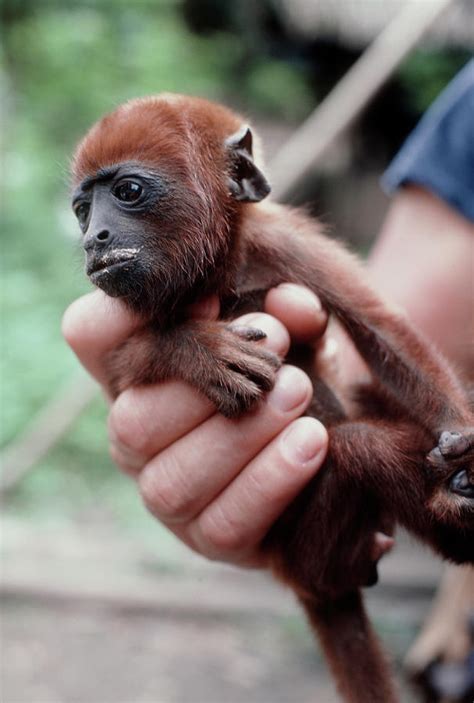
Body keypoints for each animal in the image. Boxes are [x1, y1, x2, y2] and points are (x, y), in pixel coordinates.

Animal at [70, 94, 474, 703]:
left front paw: (462, 436)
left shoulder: (284, 244)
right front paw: (200, 351)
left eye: (128, 191)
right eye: (81, 209)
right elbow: (122, 373)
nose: (91, 237)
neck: (220, 267)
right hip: (313, 544)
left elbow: (380, 329)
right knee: (358, 447)